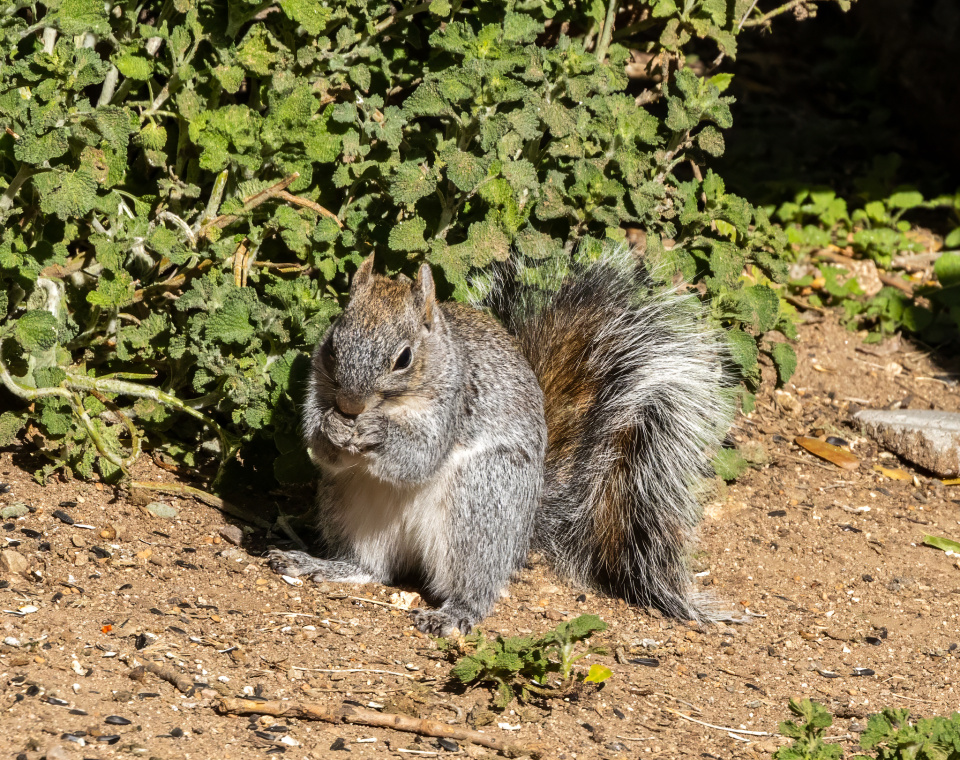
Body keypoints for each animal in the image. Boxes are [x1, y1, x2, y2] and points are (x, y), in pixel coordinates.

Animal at [267, 247, 734, 635]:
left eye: (404, 358)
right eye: (332, 344)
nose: (349, 406)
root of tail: (525, 525)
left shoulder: (455, 406)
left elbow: (418, 457)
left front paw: (374, 432)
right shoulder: (319, 391)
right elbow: (320, 449)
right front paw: (329, 429)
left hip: (481, 503)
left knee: (473, 585)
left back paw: (454, 614)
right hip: (352, 507)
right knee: (370, 567)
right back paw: (315, 563)